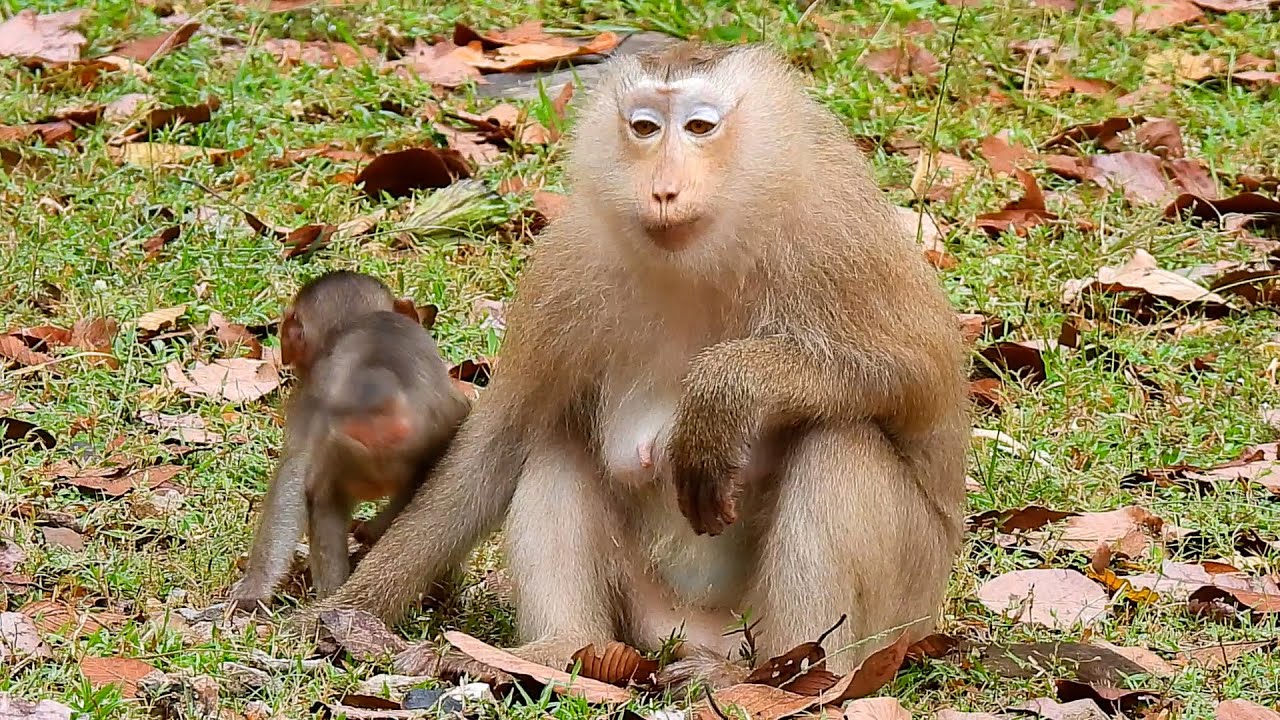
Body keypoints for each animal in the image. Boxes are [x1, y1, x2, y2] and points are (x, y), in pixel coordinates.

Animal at [307, 42, 969, 679]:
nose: (663, 187)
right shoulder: (563, 271)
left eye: (700, 126)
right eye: (645, 128)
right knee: (555, 444)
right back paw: (557, 649)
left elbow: (920, 378)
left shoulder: (840, 237)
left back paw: (787, 677)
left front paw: (729, 390)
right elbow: (495, 449)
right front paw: (345, 610)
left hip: (896, 613)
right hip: (648, 617)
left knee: (836, 440)